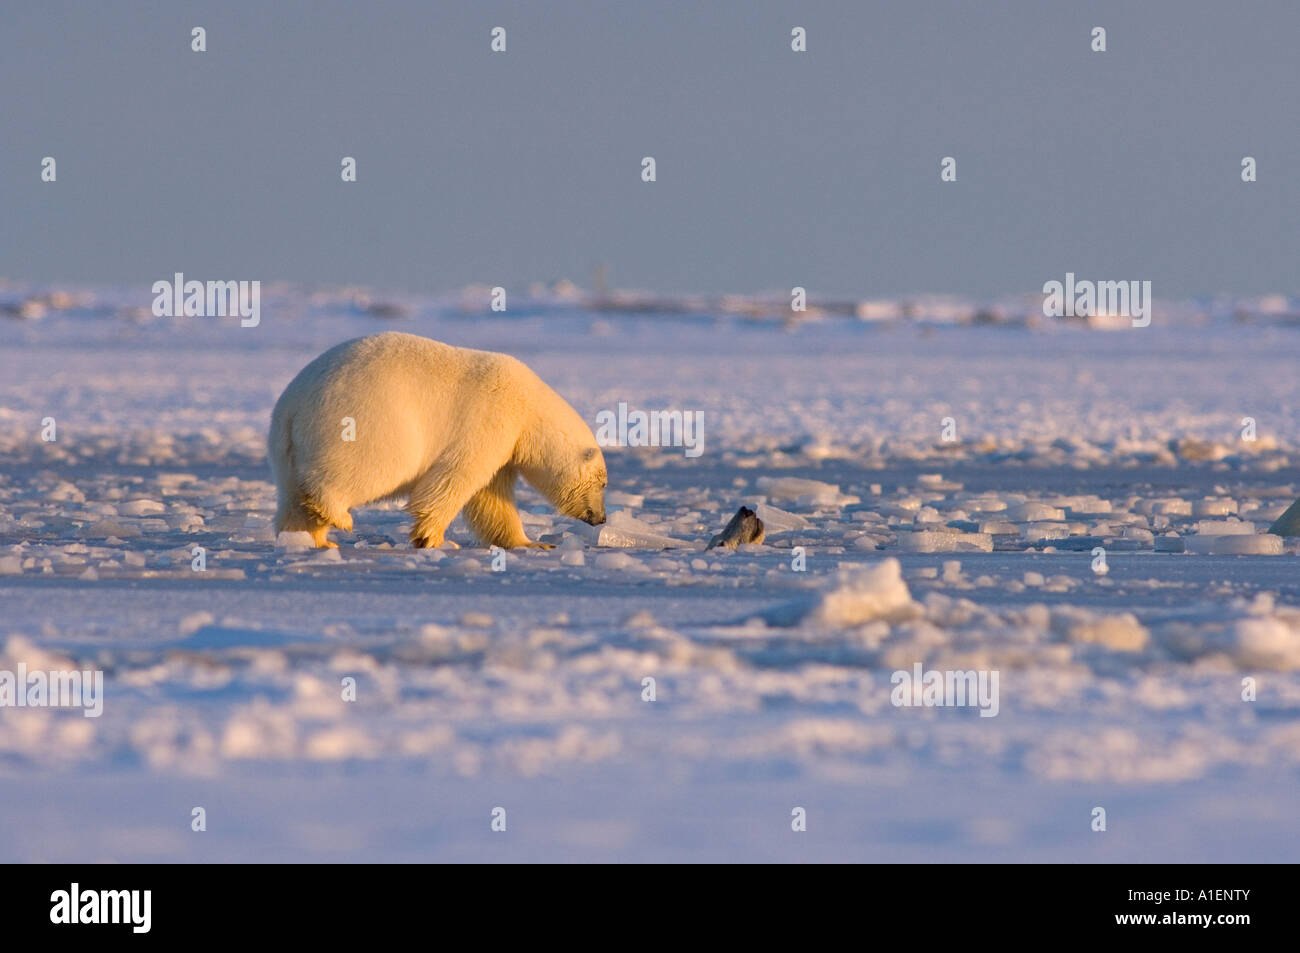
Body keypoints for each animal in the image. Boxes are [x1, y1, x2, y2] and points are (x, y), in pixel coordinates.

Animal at [267, 331, 607, 549]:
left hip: (289, 450)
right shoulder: (490, 419)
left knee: (292, 497)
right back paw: (340, 519)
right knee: (372, 467)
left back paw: (309, 538)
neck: (530, 408)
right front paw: (434, 539)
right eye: (602, 483)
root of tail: (292, 406)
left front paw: (531, 544)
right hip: (368, 419)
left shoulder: (506, 446)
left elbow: (491, 498)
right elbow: (456, 477)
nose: (601, 518)